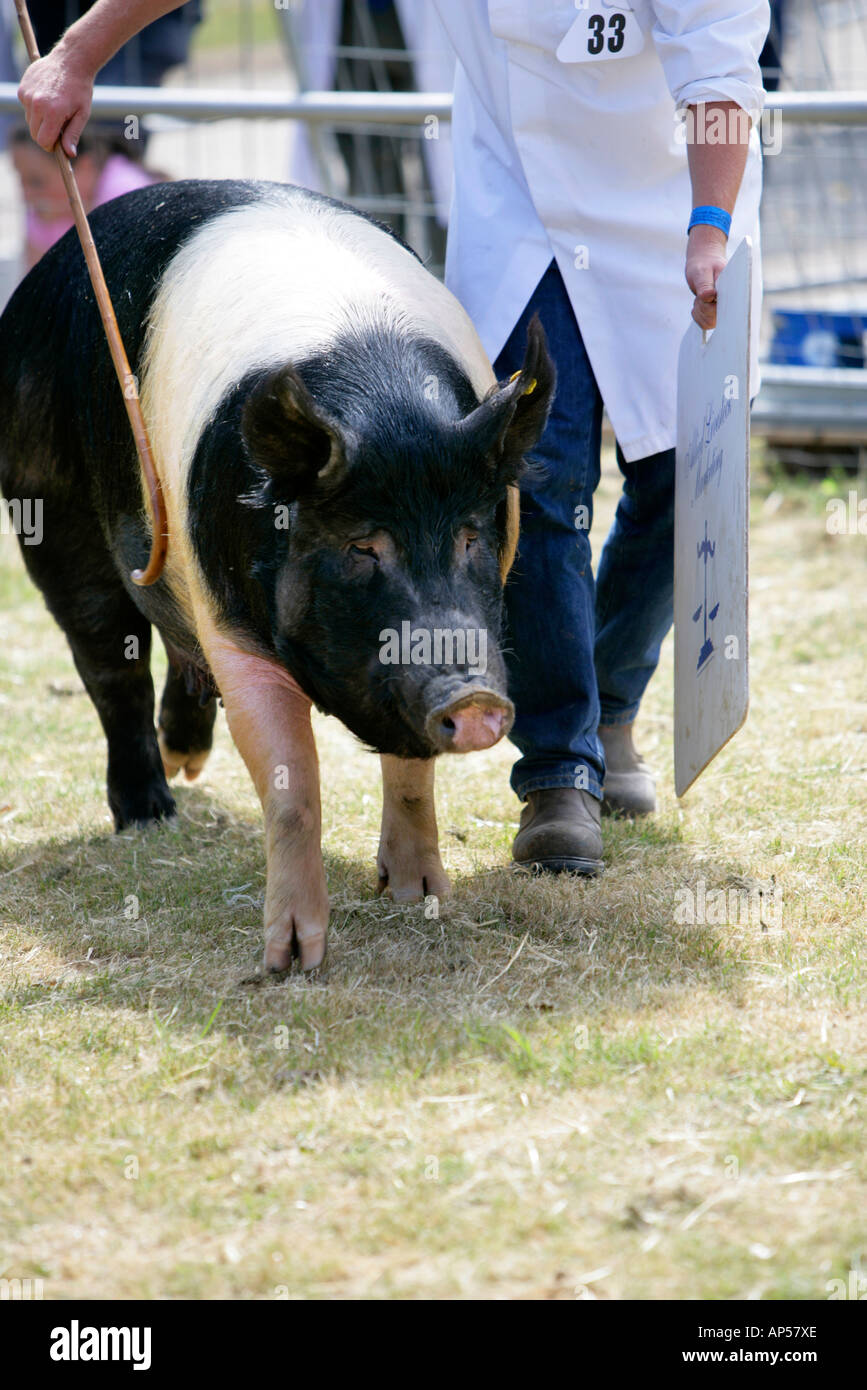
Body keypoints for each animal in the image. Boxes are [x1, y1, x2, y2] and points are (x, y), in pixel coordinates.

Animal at [0, 179, 554, 971]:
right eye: (361, 545)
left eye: (471, 534)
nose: (475, 697)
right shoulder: (234, 623)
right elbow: (291, 777)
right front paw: (290, 961)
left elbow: (410, 772)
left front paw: (419, 896)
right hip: (47, 501)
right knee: (109, 664)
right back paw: (150, 817)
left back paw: (186, 761)